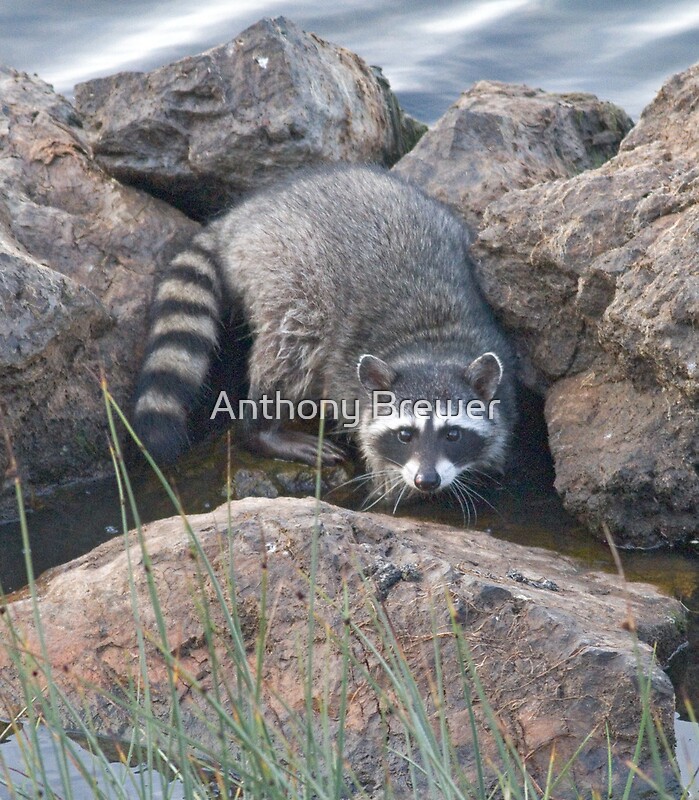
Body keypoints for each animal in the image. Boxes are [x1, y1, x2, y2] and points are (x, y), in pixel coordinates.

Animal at [133, 164, 516, 506]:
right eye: (406, 434)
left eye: (453, 434)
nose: (427, 480)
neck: (431, 346)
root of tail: (242, 217)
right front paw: (396, 493)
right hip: (284, 272)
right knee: (291, 349)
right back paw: (260, 429)